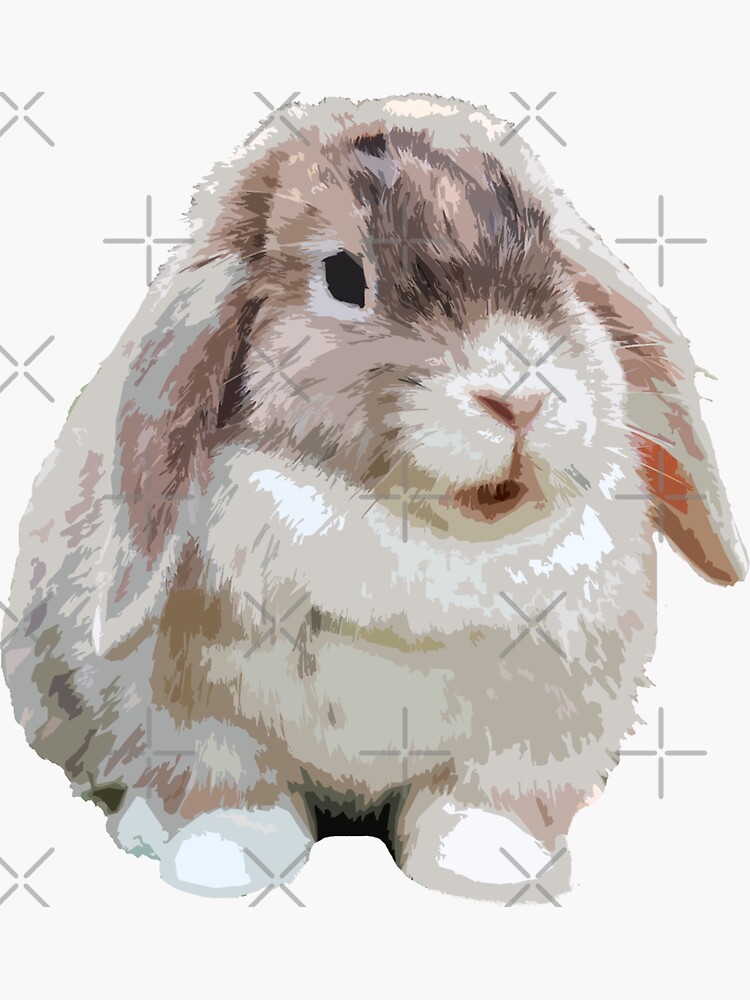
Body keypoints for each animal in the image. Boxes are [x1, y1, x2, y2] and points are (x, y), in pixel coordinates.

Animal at [2, 94, 746, 903]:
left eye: (552, 258)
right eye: (342, 275)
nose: (518, 398)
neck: (421, 536)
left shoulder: (528, 738)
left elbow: (485, 802)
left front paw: (495, 864)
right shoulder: (199, 724)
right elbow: (227, 788)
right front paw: (224, 860)